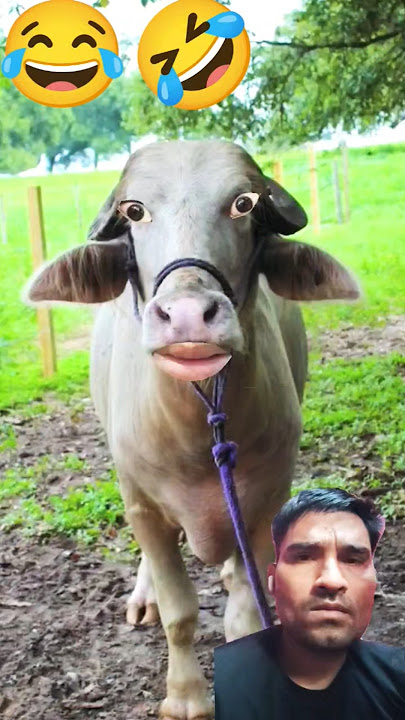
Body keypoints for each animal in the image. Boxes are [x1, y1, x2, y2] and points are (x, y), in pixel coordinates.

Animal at [25, 140, 359, 719]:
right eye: (134, 210)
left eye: (244, 204)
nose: (186, 316)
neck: (198, 440)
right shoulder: (142, 506)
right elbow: (180, 613)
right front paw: (185, 696)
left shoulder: (264, 504)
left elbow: (242, 616)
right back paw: (145, 597)